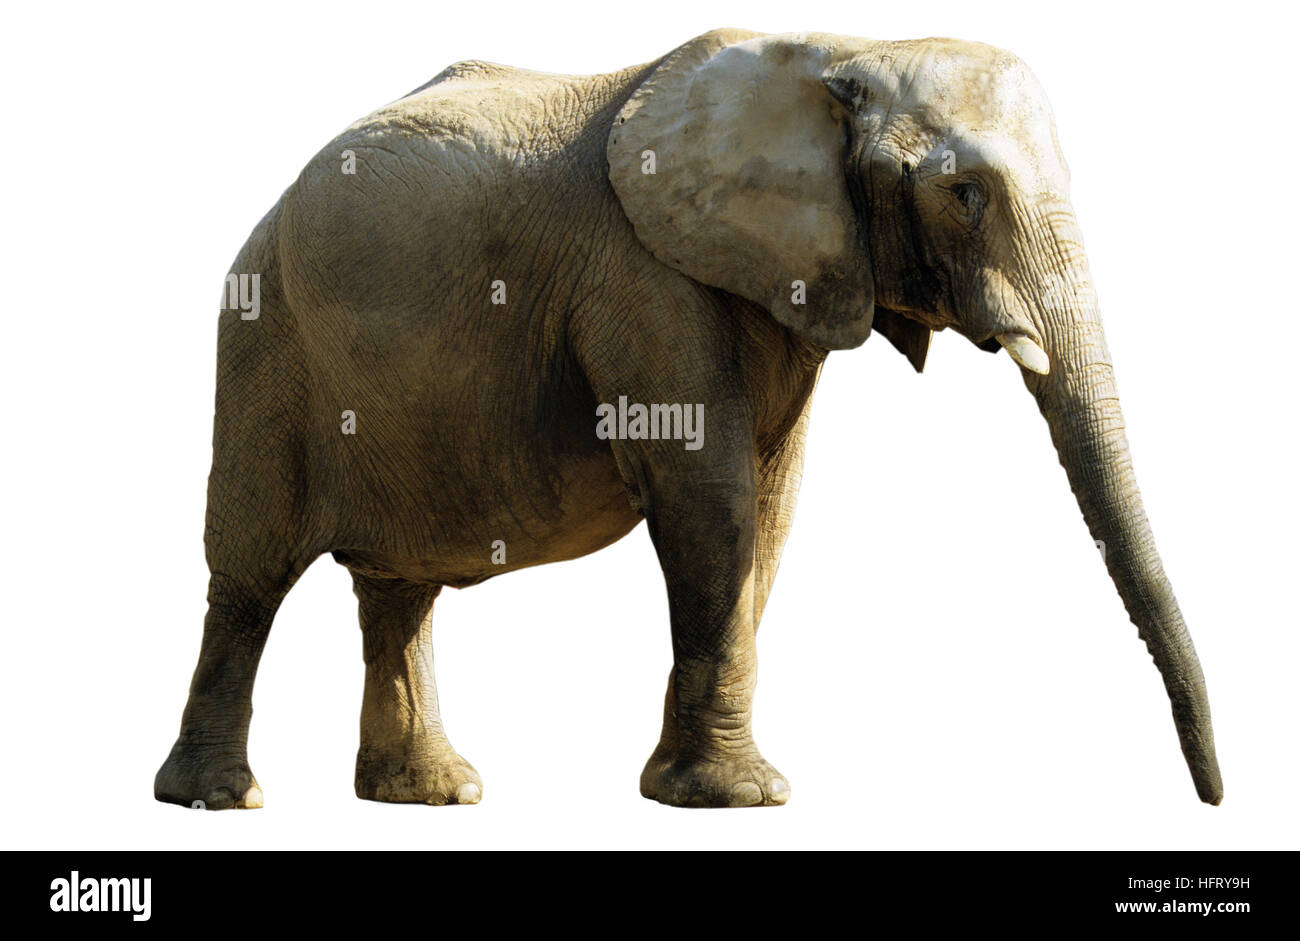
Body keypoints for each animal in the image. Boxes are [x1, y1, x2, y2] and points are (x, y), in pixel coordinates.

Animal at [155, 28, 1222, 810]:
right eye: (964, 194)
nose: (1211, 799)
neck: (840, 47)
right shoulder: (641, 275)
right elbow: (709, 492)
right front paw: (739, 800)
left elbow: (773, 500)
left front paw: (703, 788)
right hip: (265, 341)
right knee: (249, 571)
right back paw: (218, 801)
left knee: (397, 589)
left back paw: (433, 796)